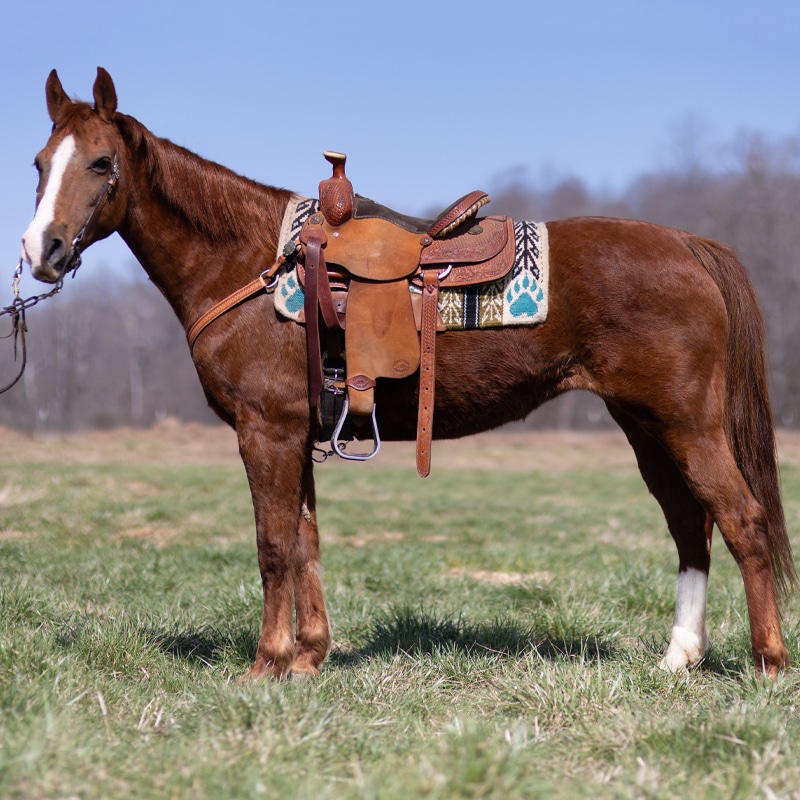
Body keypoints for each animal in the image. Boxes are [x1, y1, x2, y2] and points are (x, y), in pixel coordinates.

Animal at [19, 67, 795, 679]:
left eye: (101, 163)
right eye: (38, 162)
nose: (40, 250)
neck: (251, 262)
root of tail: (689, 246)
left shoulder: (265, 433)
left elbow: (273, 547)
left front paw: (266, 665)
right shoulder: (297, 435)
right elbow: (305, 543)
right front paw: (308, 658)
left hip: (687, 424)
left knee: (744, 520)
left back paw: (766, 662)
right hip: (646, 426)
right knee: (690, 526)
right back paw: (679, 658)